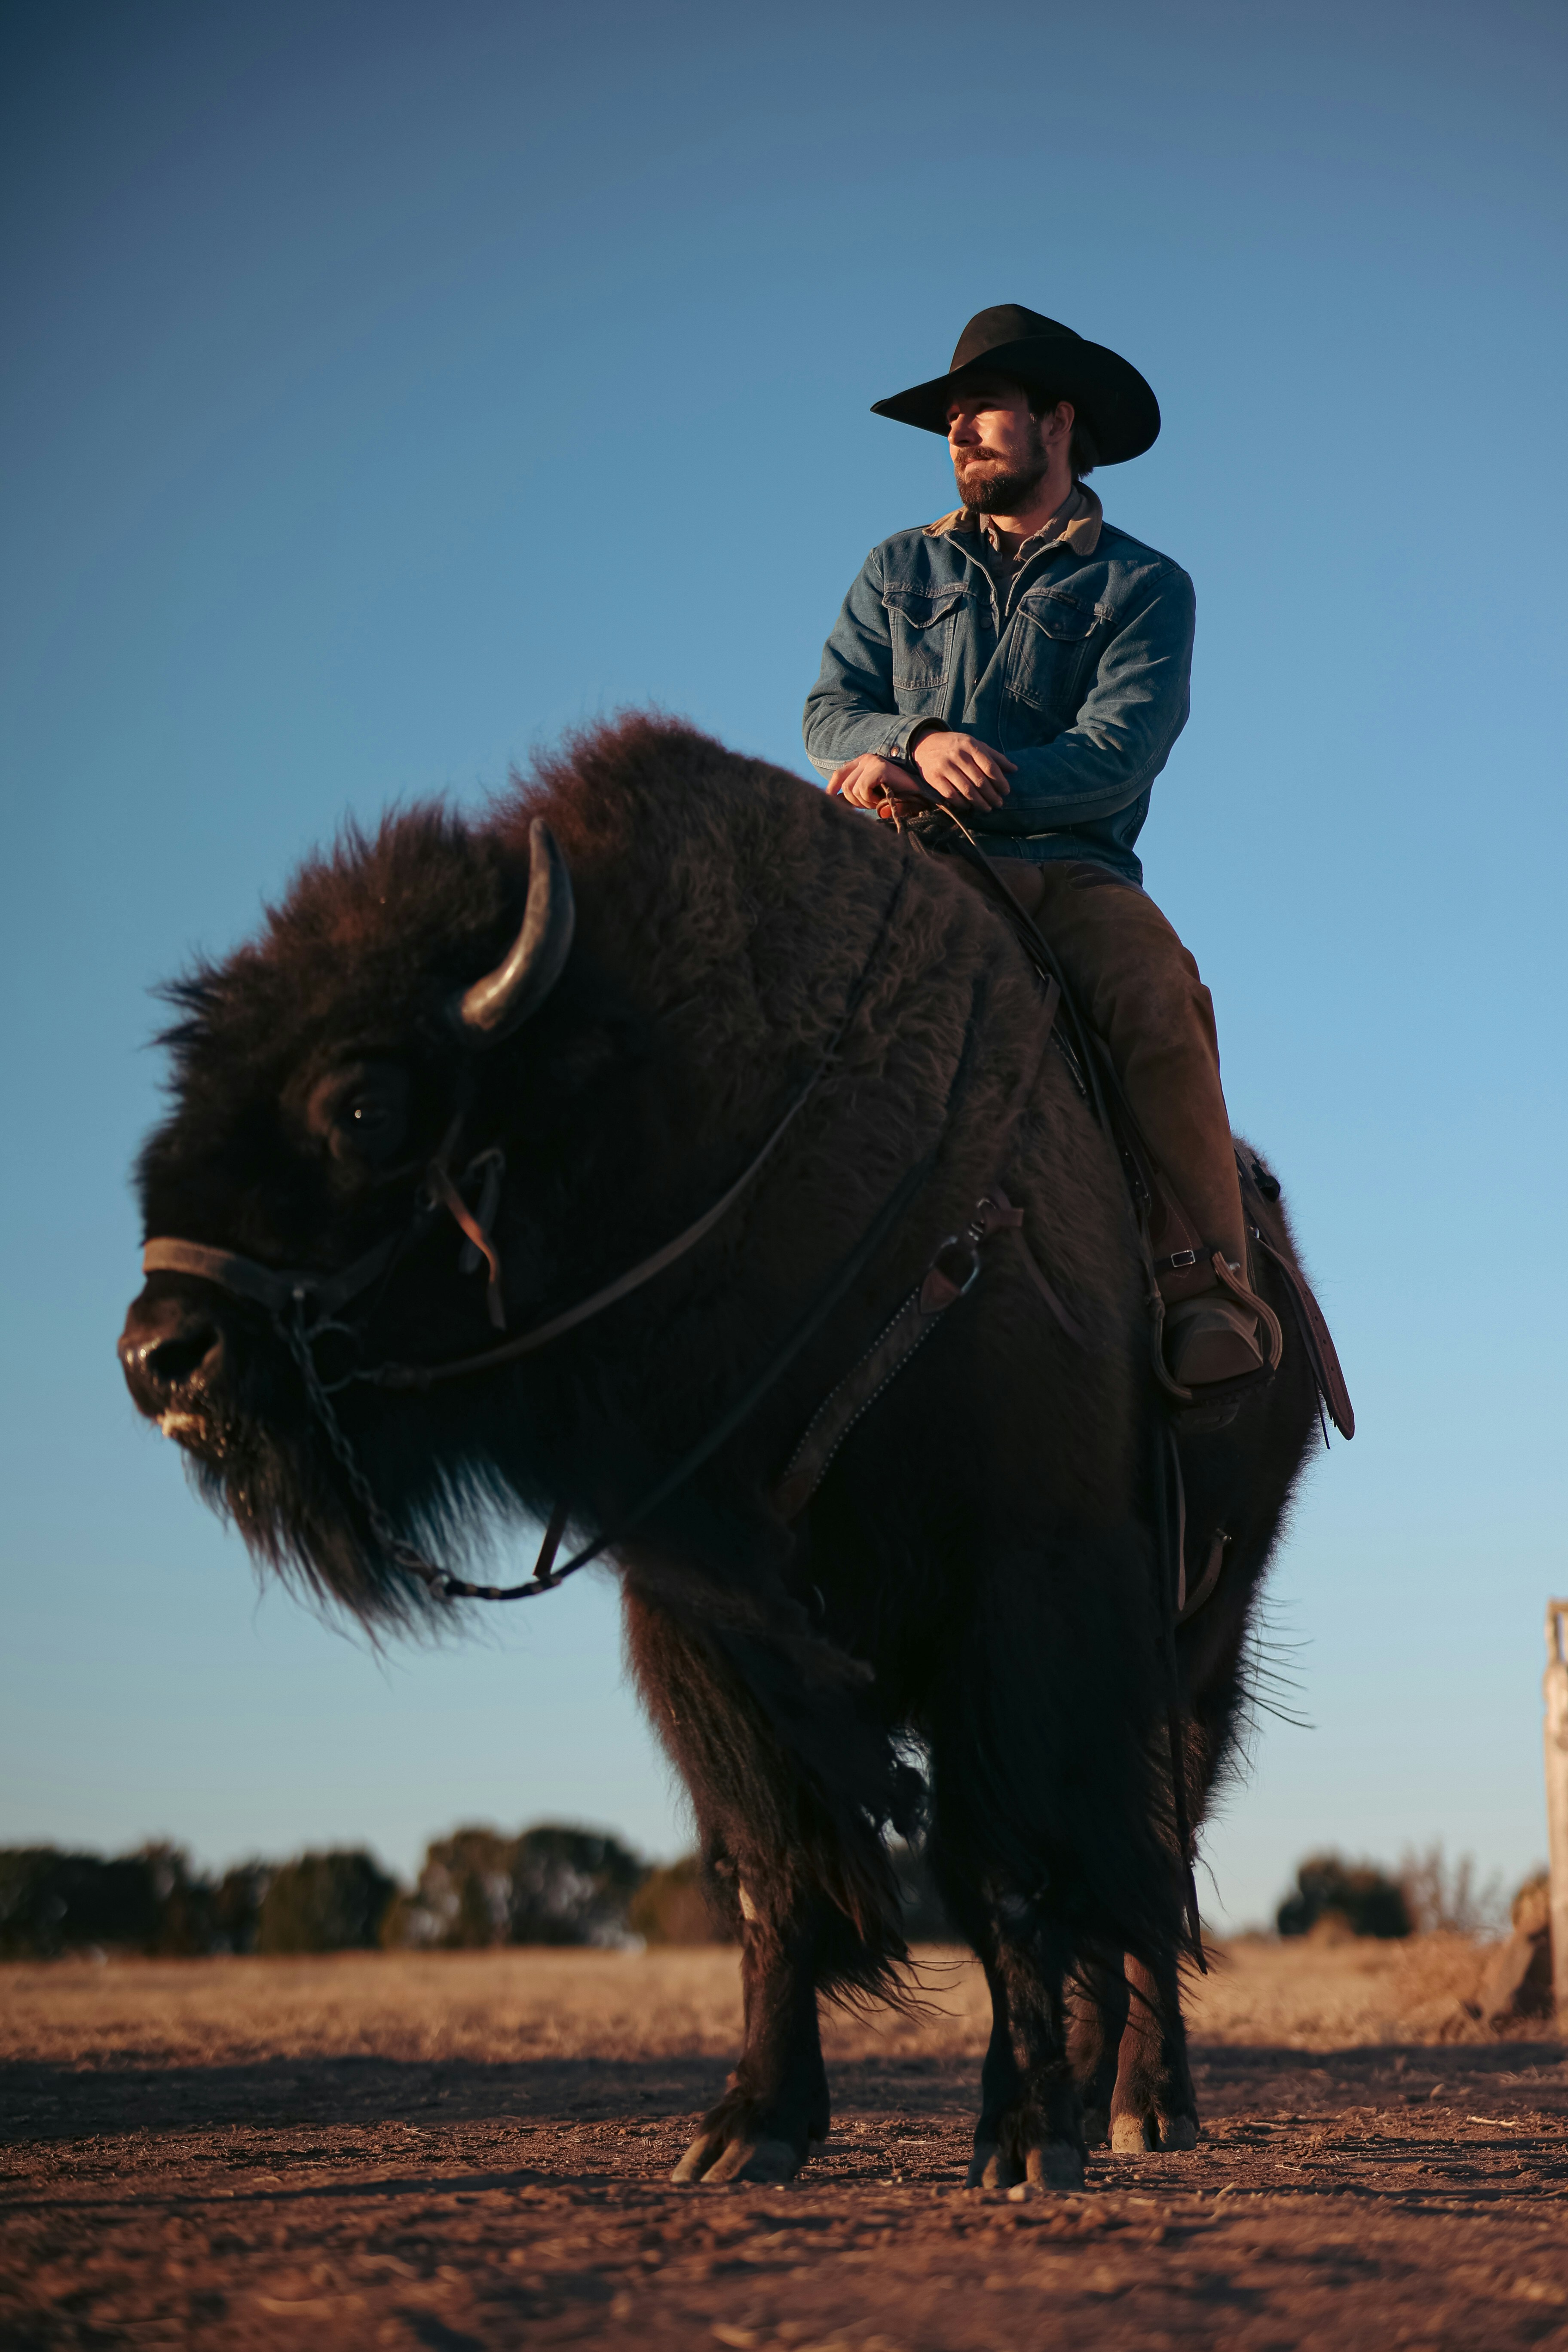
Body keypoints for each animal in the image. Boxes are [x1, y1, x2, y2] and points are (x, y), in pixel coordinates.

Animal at [119, 714, 1334, 2188]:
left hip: (1202, 1625)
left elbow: (1008, 1870)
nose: (162, 1357)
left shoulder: (1022, 1587)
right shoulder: (704, 1614)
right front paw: (750, 2127)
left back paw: (1147, 2103)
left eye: (362, 1106)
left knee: (1161, 1841)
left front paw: (1022, 2134)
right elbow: (774, 1873)